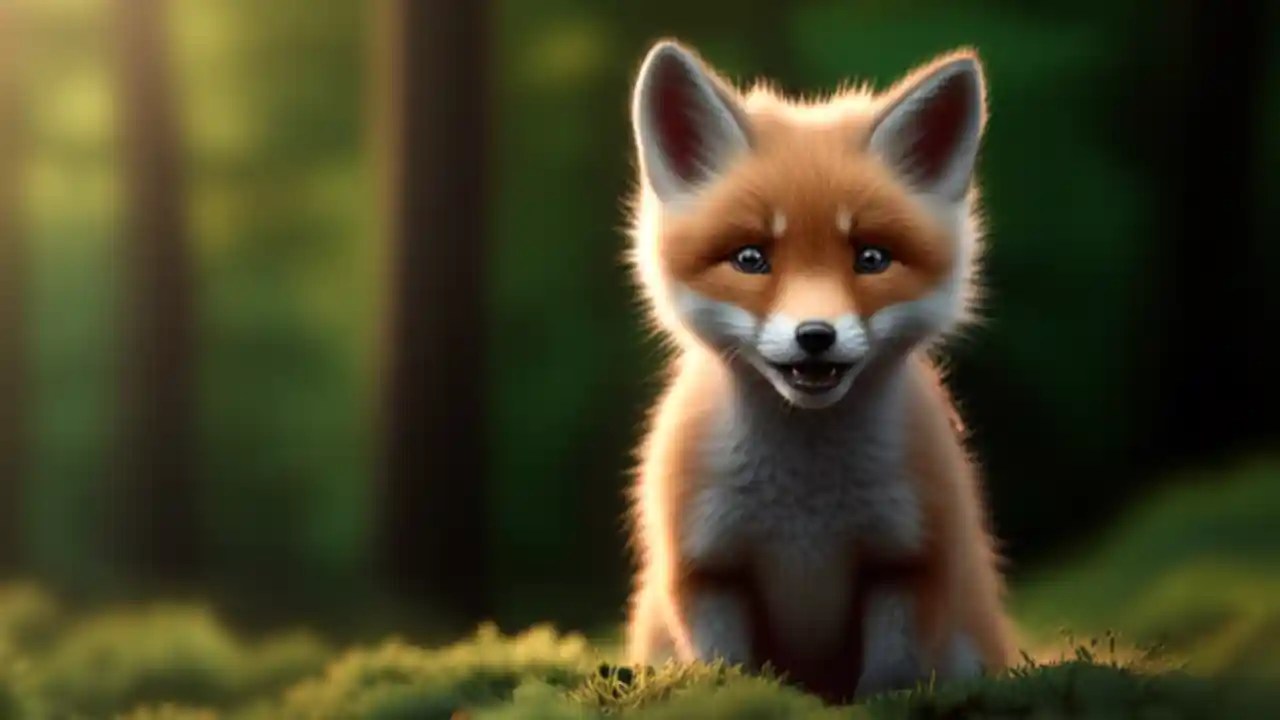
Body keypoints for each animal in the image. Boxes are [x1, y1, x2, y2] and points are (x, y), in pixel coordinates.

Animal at [621, 39, 1018, 702]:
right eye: (751, 259)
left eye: (871, 258)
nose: (814, 336)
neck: (805, 514)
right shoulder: (705, 569)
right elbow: (726, 671)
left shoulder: (910, 562)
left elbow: (890, 680)